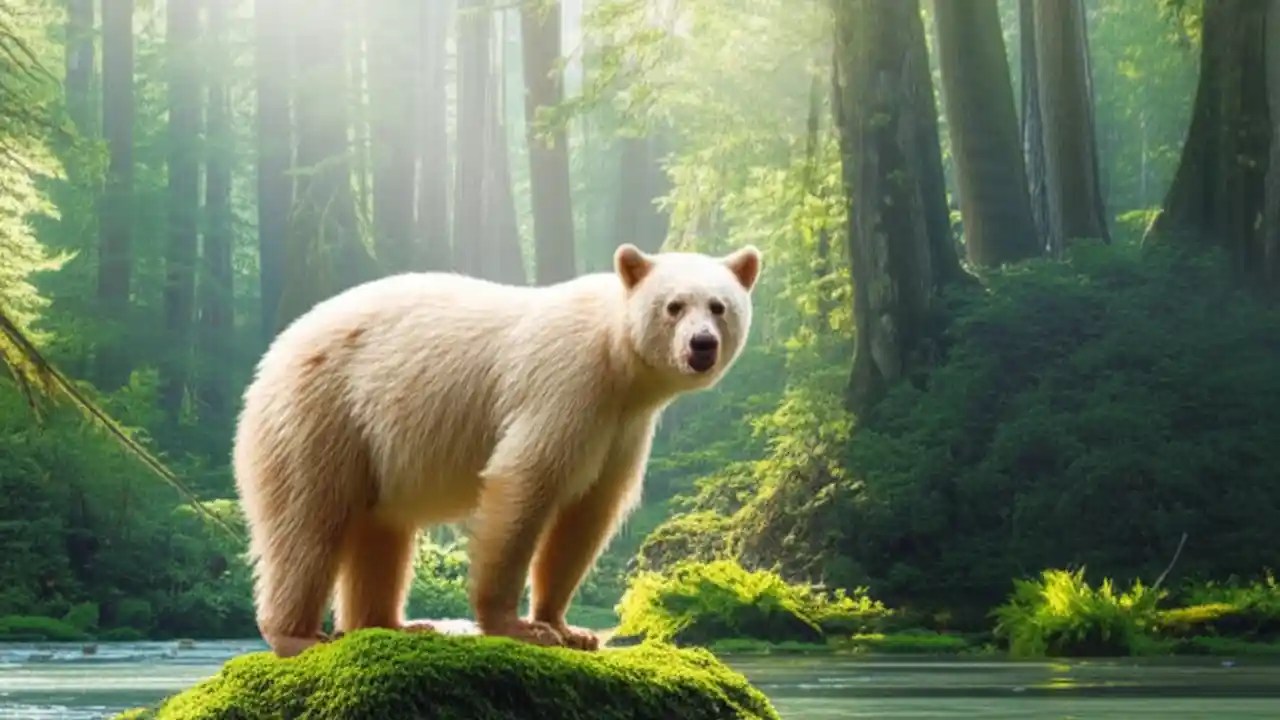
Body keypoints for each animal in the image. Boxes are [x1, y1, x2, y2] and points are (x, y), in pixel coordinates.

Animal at [232, 242, 762, 658]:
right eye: (674, 306)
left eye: (719, 306)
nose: (701, 344)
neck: (619, 364)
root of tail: (270, 358)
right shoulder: (567, 385)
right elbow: (525, 480)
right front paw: (519, 626)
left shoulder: (622, 429)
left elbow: (587, 515)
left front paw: (571, 629)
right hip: (321, 416)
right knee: (306, 523)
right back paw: (298, 635)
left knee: (380, 530)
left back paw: (396, 623)